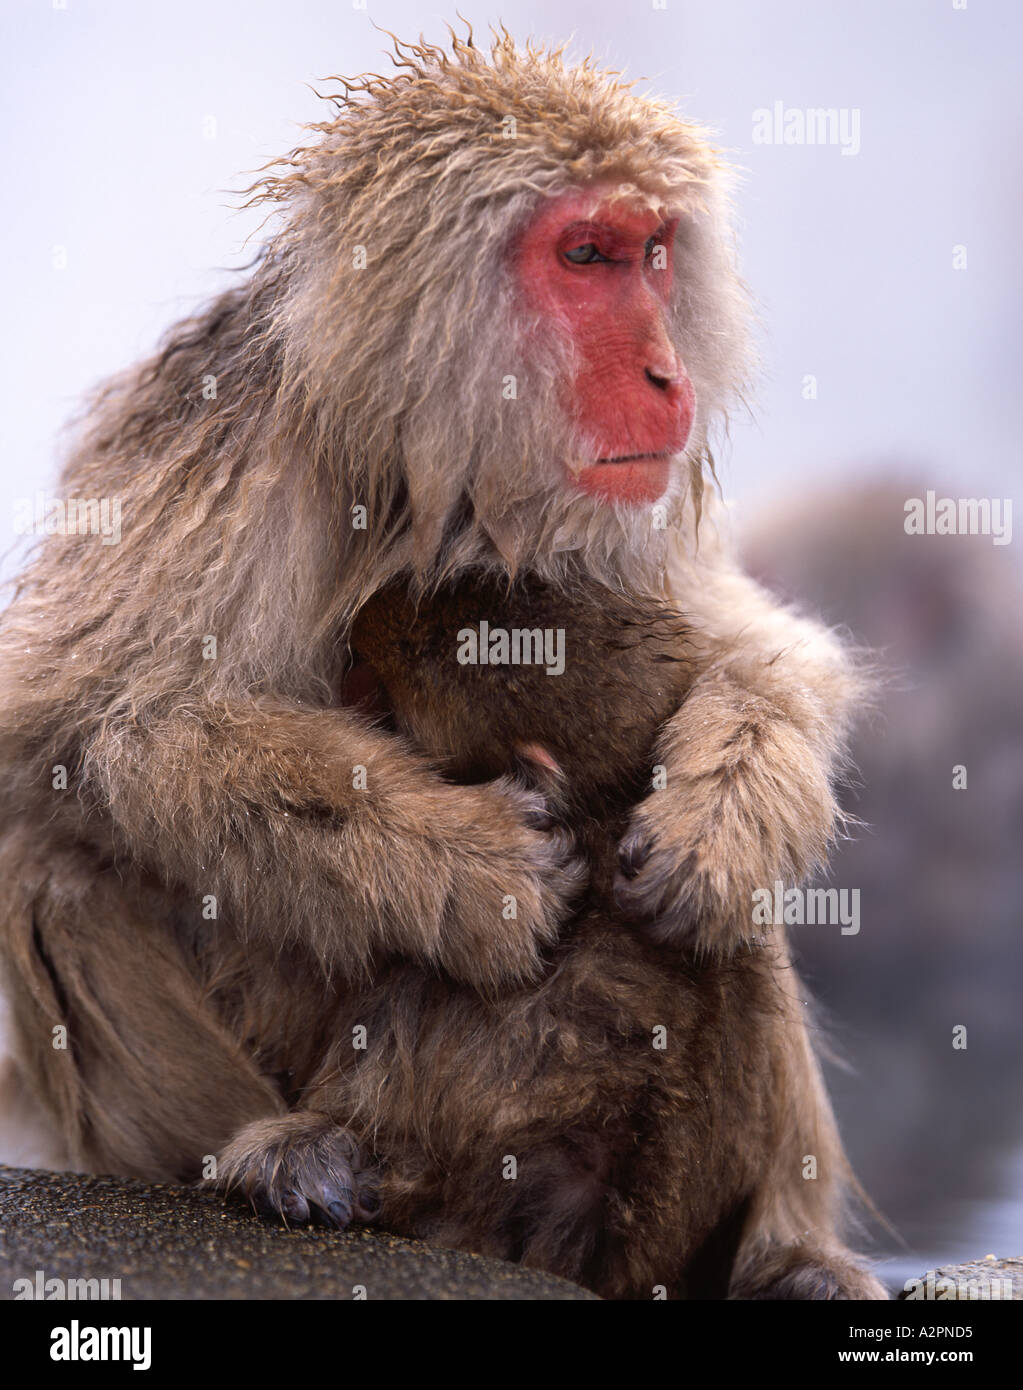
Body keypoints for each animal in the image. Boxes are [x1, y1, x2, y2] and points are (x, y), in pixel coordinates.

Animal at [0, 31, 885, 1298]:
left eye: (653, 252)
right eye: (585, 256)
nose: (668, 376)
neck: (435, 469)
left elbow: (747, 642)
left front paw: (724, 813)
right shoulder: (233, 448)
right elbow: (88, 725)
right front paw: (478, 871)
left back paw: (787, 1255)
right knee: (56, 859)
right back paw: (289, 1153)